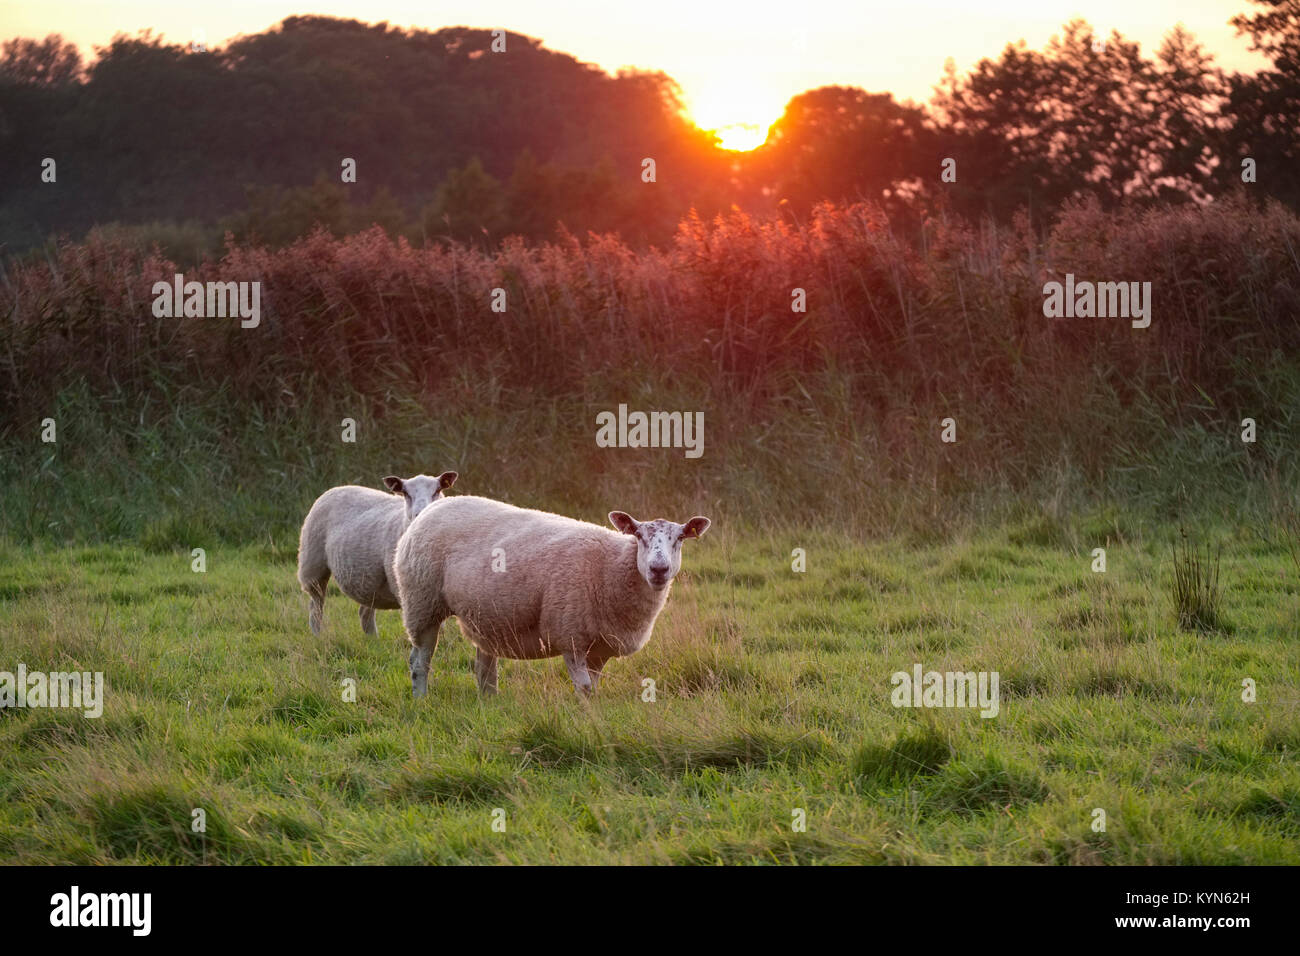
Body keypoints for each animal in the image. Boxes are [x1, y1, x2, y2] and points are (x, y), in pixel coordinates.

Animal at [297, 471, 458, 635]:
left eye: (437, 490)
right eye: (405, 493)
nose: (420, 514)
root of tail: (337, 488)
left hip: (367, 579)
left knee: (364, 613)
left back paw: (372, 639)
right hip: (313, 565)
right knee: (316, 607)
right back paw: (317, 635)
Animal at [393, 495, 710, 697]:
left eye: (679, 539)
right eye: (639, 537)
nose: (659, 569)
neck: (610, 566)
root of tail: (433, 507)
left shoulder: (600, 648)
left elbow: (594, 688)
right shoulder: (570, 635)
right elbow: (584, 688)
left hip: (486, 615)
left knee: (484, 670)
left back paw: (489, 703)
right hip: (422, 602)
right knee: (419, 661)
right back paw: (421, 700)